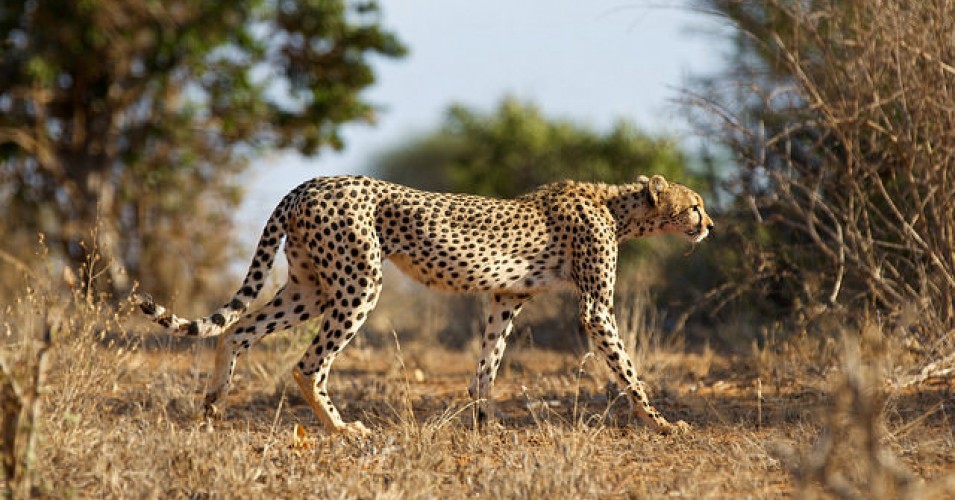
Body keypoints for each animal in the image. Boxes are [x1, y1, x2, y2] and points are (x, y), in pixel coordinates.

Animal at [134, 174, 714, 436]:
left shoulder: (505, 297)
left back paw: (212, 405)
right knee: (307, 363)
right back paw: (342, 429)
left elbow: (487, 366)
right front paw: (663, 423)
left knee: (237, 329)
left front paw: (486, 422)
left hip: (310, 287)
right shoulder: (594, 307)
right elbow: (629, 369)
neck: (617, 207)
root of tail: (308, 183)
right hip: (359, 282)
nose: (709, 224)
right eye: (694, 205)